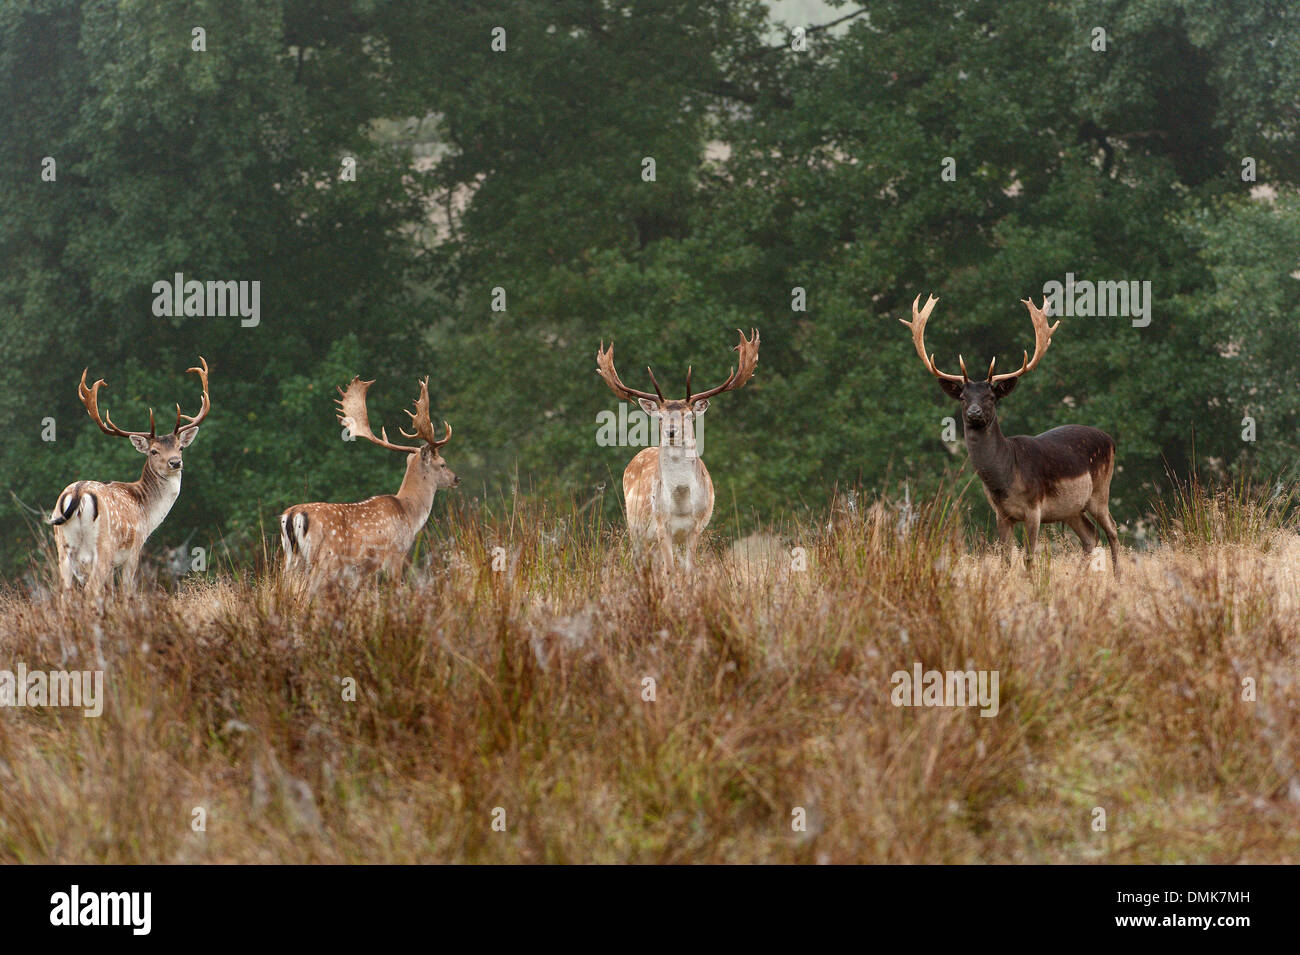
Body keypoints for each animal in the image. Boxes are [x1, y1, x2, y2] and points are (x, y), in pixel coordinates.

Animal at [48, 358, 211, 594]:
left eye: (180, 448)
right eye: (154, 451)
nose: (175, 462)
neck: (146, 512)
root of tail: (77, 493)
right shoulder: (134, 549)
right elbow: (125, 591)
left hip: (63, 548)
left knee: (65, 592)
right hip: (102, 547)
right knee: (90, 590)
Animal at [279, 376, 458, 583]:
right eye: (443, 464)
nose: (457, 478)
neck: (409, 514)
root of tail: (292, 515)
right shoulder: (396, 554)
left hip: (290, 557)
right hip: (323, 556)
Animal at [596, 329, 760, 573]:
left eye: (688, 415)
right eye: (660, 417)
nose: (671, 431)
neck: (681, 502)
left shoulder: (696, 527)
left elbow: (689, 569)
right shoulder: (661, 525)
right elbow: (670, 569)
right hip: (636, 527)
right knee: (640, 562)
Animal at [901, 295, 1120, 575]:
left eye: (991, 396)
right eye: (963, 397)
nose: (974, 412)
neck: (1004, 478)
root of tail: (1110, 439)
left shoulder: (1034, 508)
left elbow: (1028, 558)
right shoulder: (1001, 513)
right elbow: (1005, 559)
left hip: (1100, 491)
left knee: (1112, 530)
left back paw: (1118, 576)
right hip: (1071, 508)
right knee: (1090, 535)